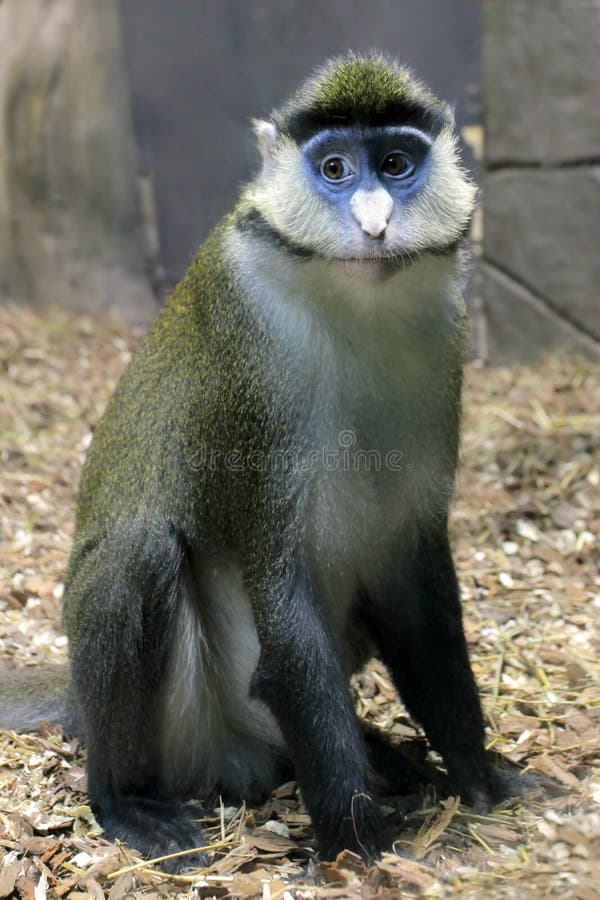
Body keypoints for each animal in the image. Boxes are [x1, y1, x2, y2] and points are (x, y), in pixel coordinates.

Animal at [1, 52, 525, 871]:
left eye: (396, 164)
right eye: (334, 168)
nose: (374, 223)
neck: (351, 304)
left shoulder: (441, 343)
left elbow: (416, 594)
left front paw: (478, 776)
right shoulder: (251, 369)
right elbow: (283, 591)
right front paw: (355, 840)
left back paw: (388, 756)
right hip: (186, 726)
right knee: (139, 555)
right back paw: (124, 800)